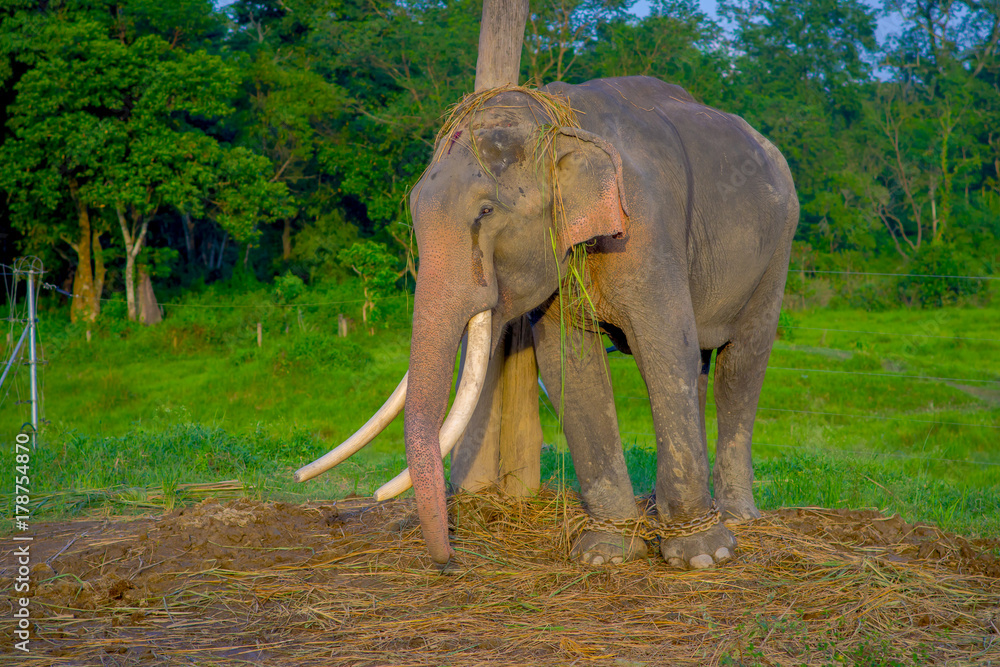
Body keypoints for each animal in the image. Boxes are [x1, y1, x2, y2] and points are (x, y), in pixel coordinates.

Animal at [301, 75, 798, 570]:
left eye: (486, 211)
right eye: (413, 206)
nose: (448, 557)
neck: (559, 120)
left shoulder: (647, 227)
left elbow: (665, 350)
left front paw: (703, 556)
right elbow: (569, 367)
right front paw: (604, 555)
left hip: (778, 248)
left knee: (739, 365)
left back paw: (736, 518)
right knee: (698, 368)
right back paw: (665, 510)